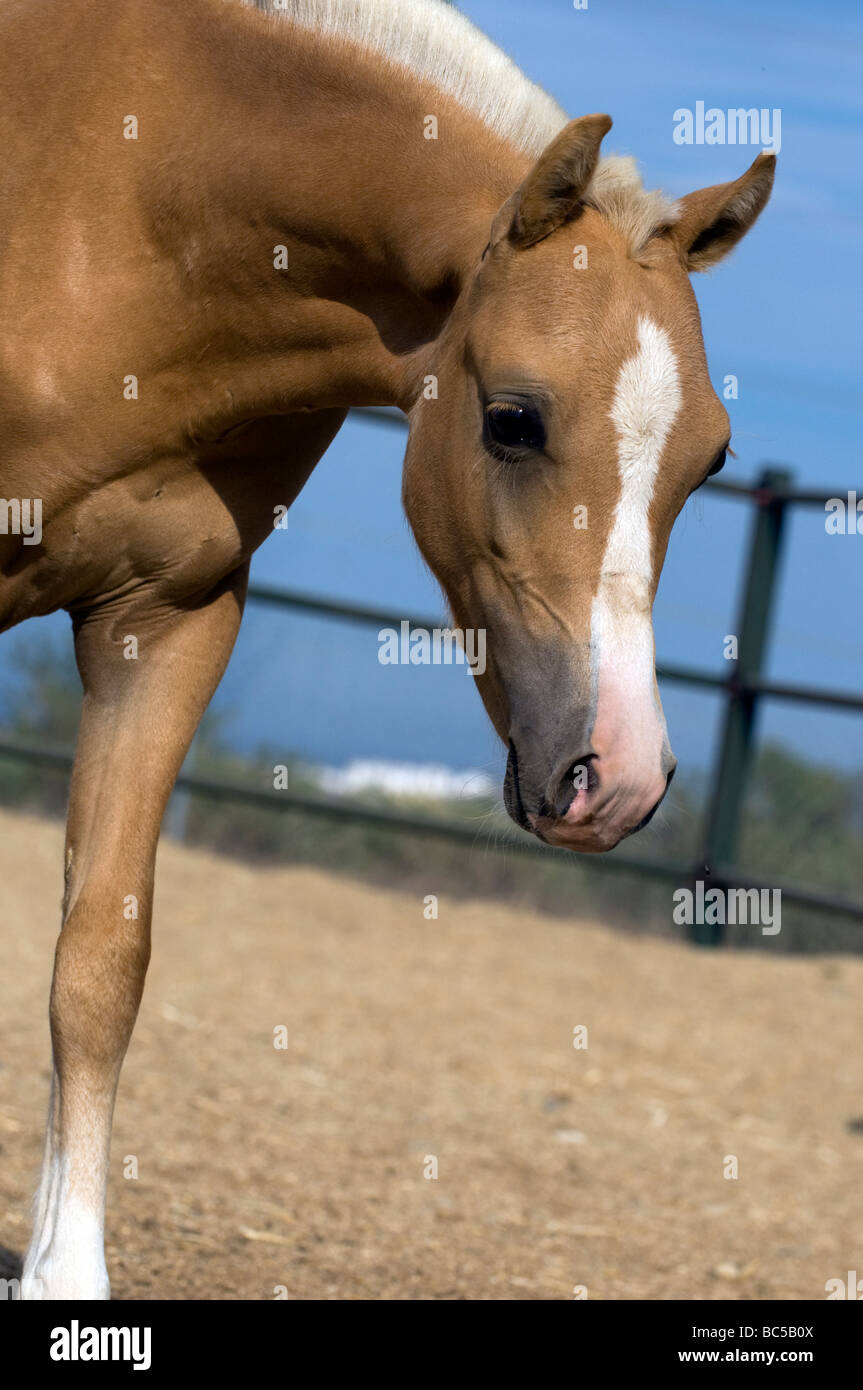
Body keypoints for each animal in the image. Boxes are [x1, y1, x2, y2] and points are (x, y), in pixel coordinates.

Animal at [0, 0, 774, 1299]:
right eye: (512, 418)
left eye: (708, 458)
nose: (615, 773)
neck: (124, 194)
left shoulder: (164, 621)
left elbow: (99, 960)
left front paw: (67, 1277)